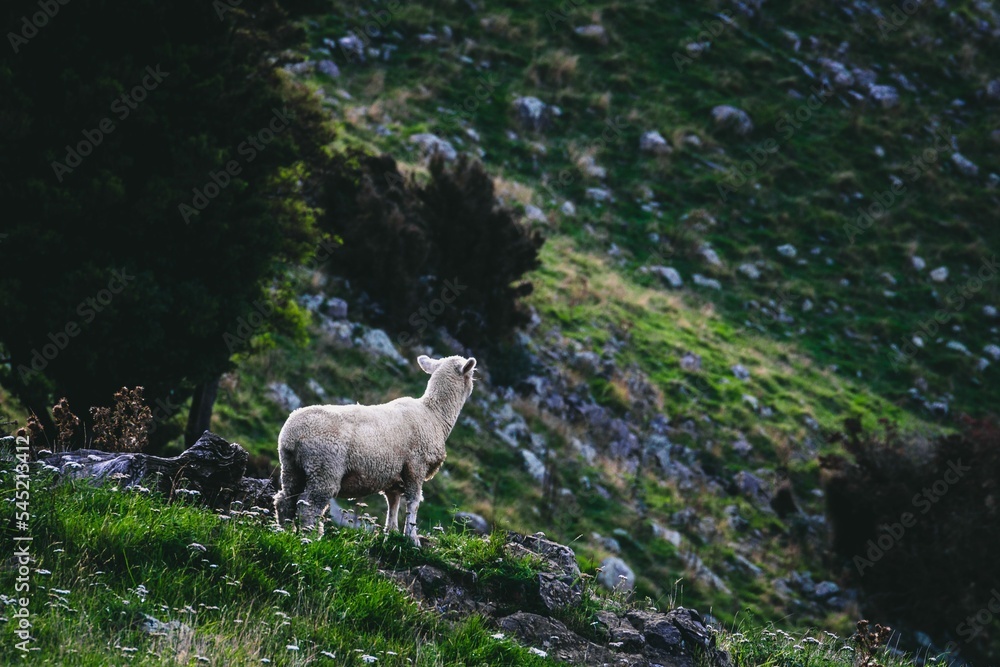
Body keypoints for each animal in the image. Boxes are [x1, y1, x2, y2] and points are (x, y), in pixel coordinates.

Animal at [274, 354, 476, 545]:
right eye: (471, 374)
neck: (435, 414)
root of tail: (292, 433)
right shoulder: (416, 465)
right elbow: (413, 503)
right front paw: (412, 538)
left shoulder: (395, 474)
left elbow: (393, 504)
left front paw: (391, 534)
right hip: (324, 469)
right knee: (308, 507)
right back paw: (309, 539)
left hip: (292, 467)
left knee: (285, 500)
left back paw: (285, 532)